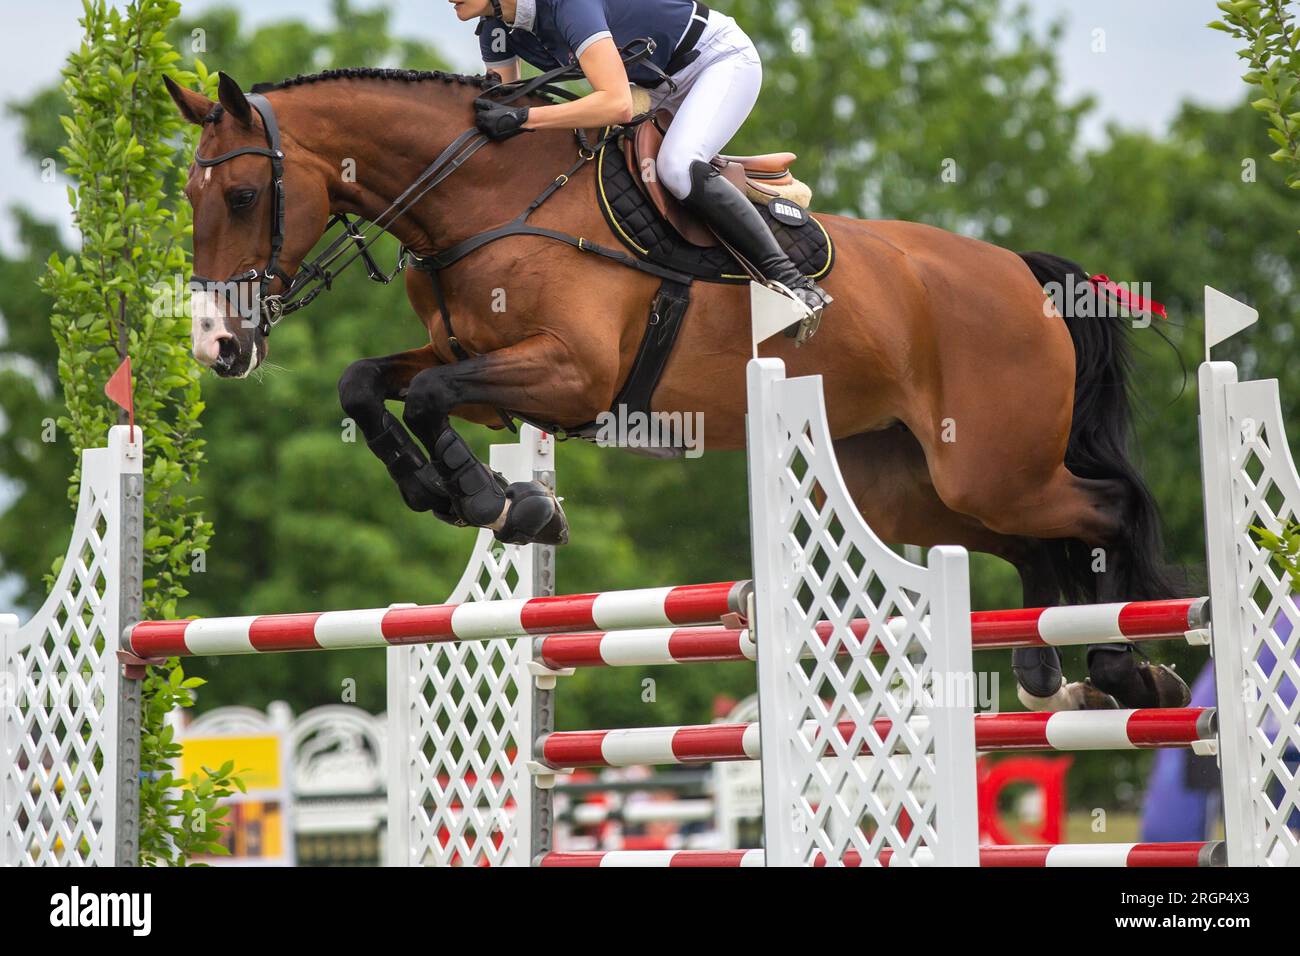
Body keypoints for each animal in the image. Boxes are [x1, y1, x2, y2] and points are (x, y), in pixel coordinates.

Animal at [164, 67, 1188, 712]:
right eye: (188, 197)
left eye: (244, 198)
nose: (217, 344)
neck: (485, 199)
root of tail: (1023, 275)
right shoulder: (491, 377)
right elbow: (368, 385)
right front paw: (473, 496)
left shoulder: (571, 374)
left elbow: (423, 399)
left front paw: (505, 503)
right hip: (914, 485)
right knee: (1033, 543)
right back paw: (1055, 666)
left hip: (991, 465)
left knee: (1103, 510)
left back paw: (1124, 665)